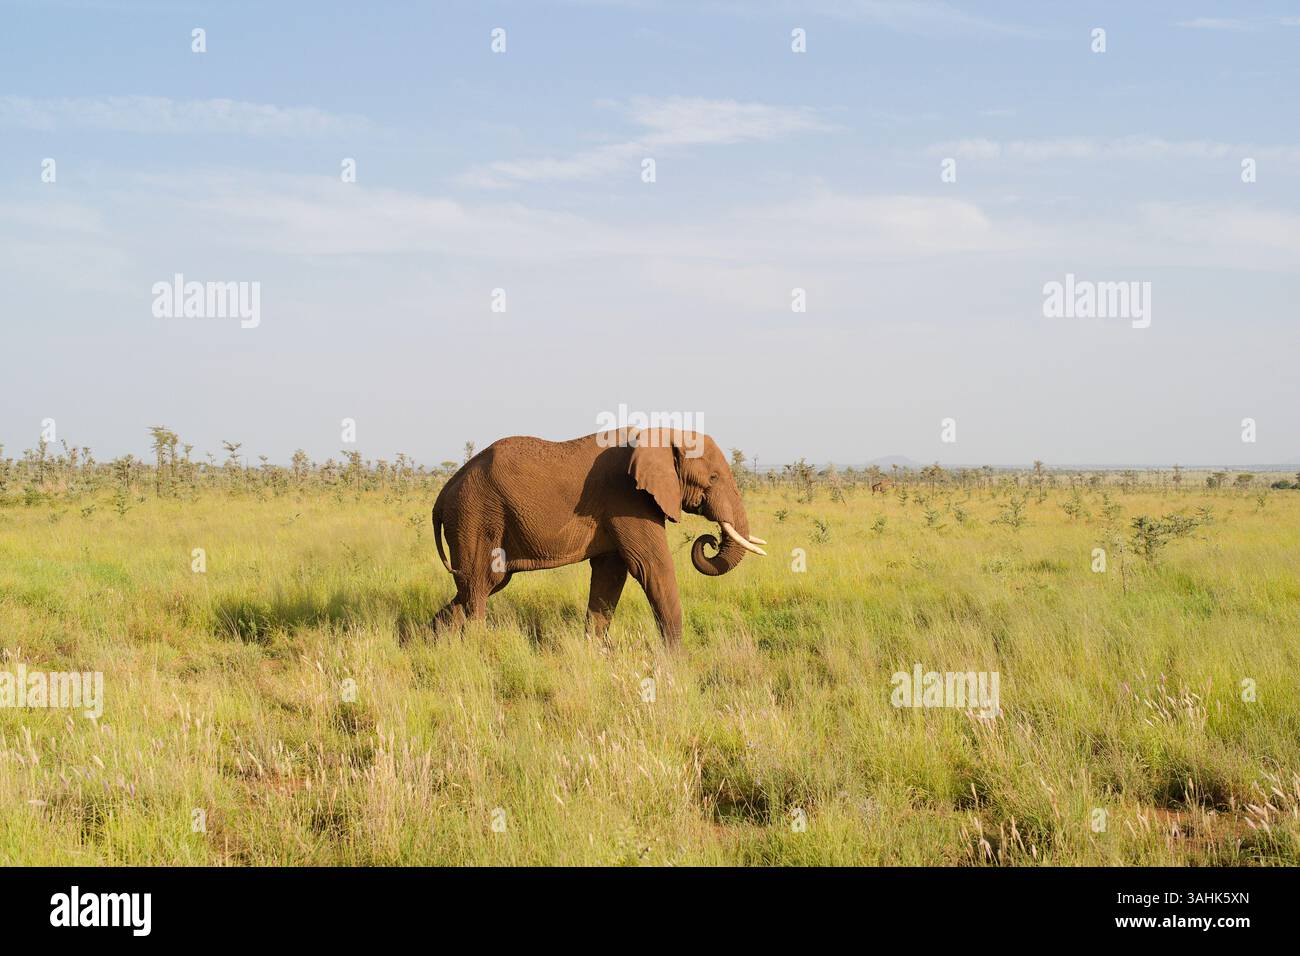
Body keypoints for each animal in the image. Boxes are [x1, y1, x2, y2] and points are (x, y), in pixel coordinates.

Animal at [430, 427, 767, 645]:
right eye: (713, 478)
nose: (710, 540)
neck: (660, 433)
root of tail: (443, 493)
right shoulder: (627, 497)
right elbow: (650, 566)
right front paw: (674, 662)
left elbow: (610, 574)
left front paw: (595, 652)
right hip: (475, 515)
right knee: (480, 582)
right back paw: (476, 647)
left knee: (484, 582)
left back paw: (437, 641)